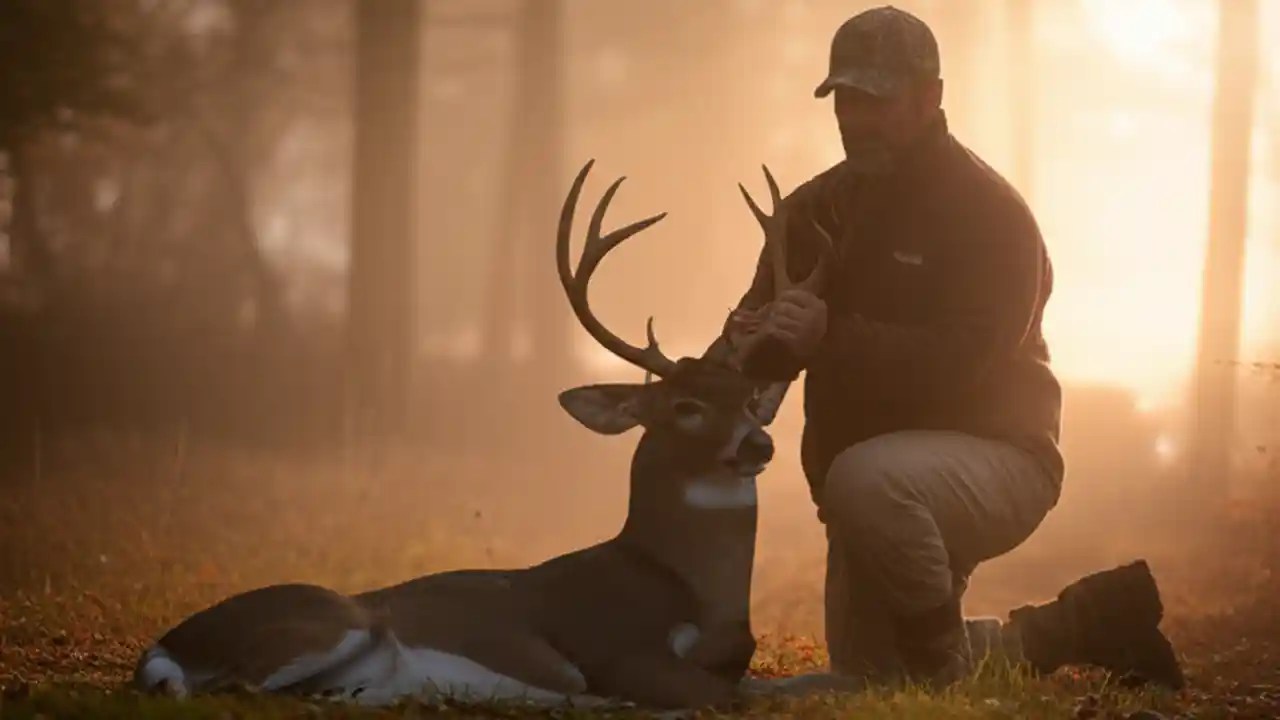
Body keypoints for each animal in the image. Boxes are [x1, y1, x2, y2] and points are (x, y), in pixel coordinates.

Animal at [132, 159, 848, 710]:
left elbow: (793, 683)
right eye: (686, 406)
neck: (695, 591)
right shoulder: (614, 646)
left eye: (749, 400)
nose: (757, 445)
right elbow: (722, 695)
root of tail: (160, 648)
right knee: (235, 686)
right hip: (328, 621)